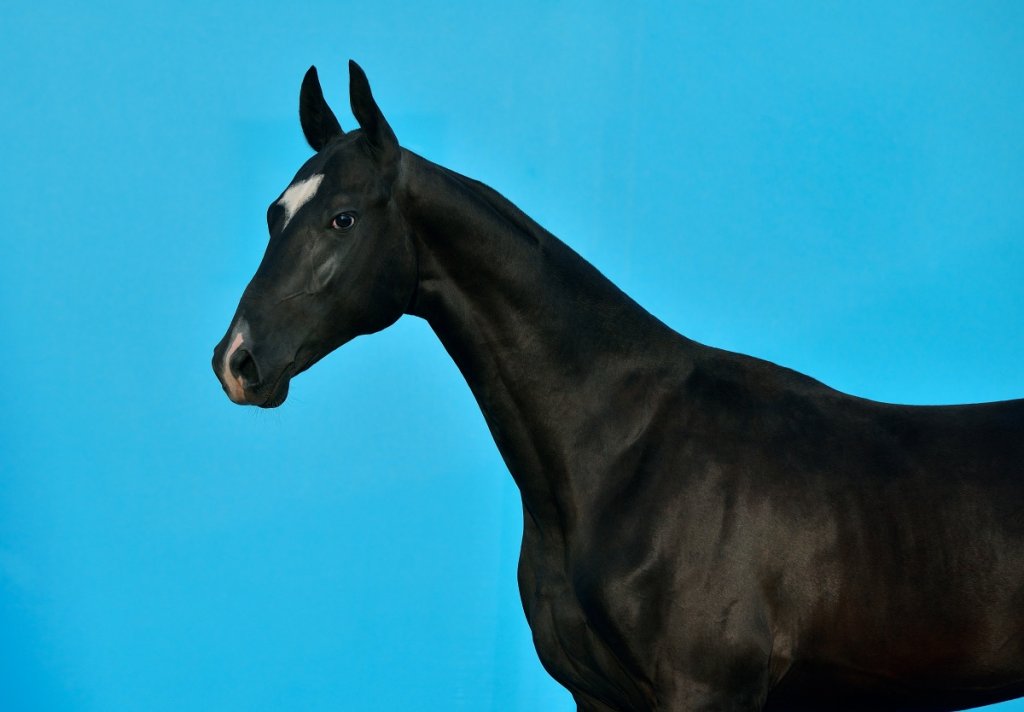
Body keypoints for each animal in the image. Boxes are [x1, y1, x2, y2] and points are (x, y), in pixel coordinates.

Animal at [212, 61, 1024, 711]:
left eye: (343, 218)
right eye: (274, 213)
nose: (237, 361)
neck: (625, 451)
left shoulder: (707, 690)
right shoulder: (598, 697)